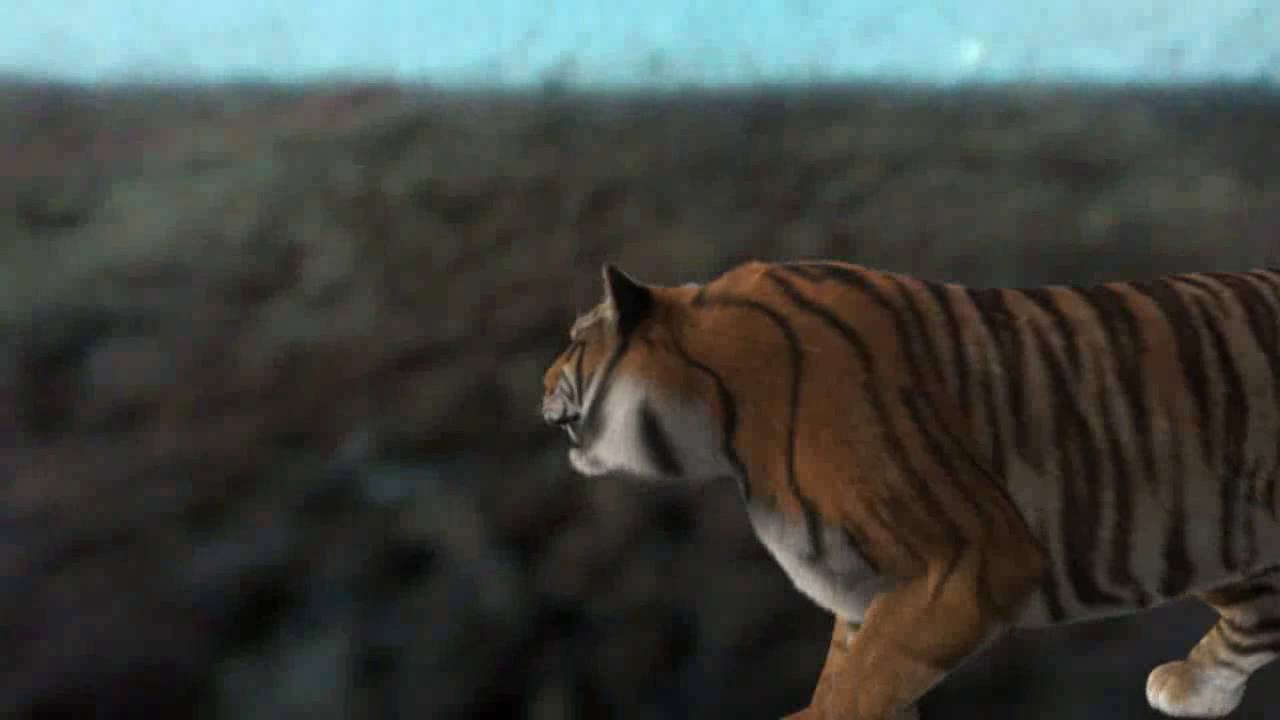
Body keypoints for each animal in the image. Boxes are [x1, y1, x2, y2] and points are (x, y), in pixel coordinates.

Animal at [540, 259, 1280, 719]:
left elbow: (868, 677)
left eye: (576, 339)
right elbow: (857, 668)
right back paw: (1195, 687)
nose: (541, 382)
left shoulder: (975, 554)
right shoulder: (869, 579)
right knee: (1259, 616)